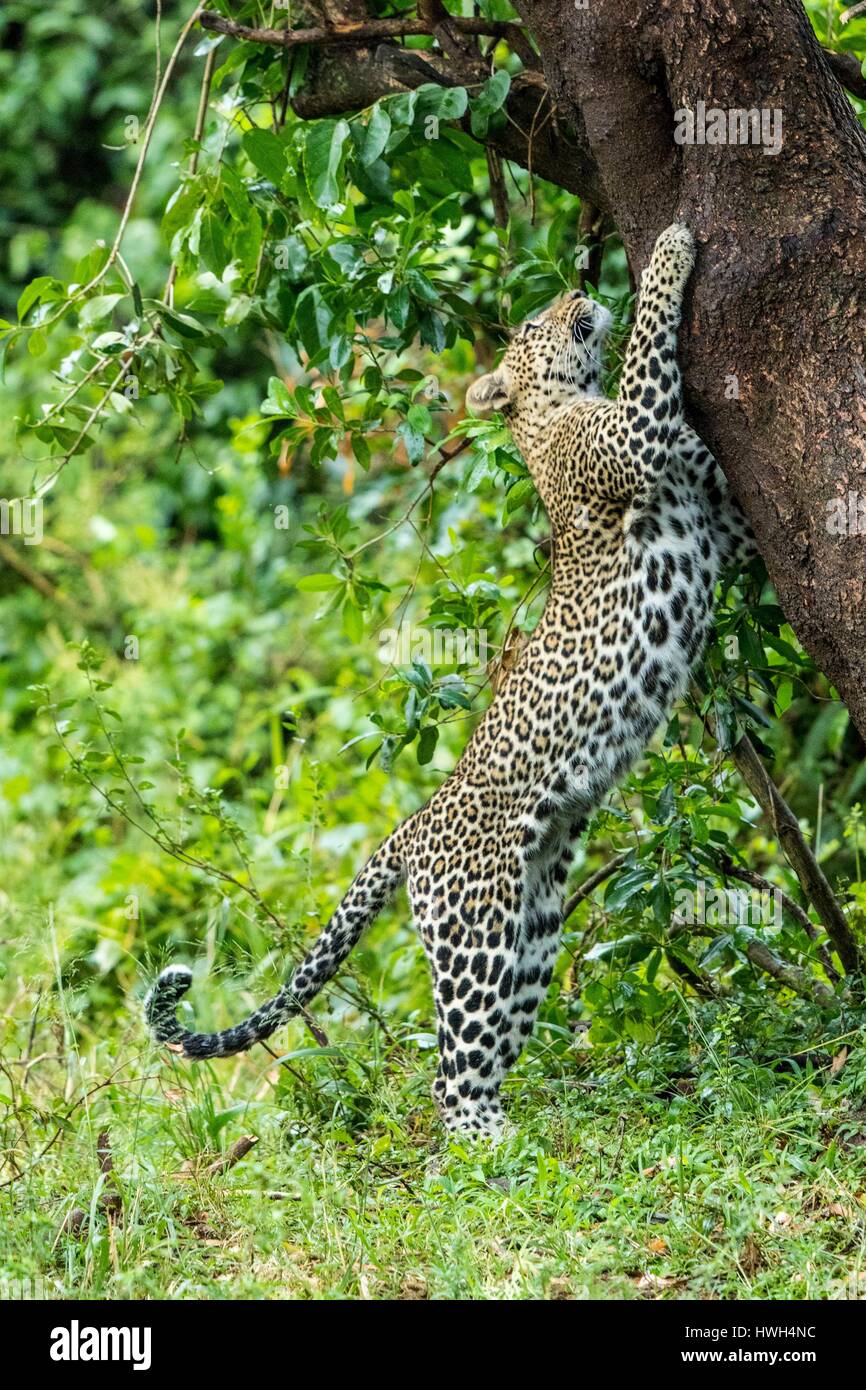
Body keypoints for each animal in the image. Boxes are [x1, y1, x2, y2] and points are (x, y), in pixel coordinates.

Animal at [146, 222, 756, 1141]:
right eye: (537, 321)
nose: (576, 292)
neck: (545, 416)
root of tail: (413, 826)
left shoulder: (716, 514)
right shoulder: (637, 430)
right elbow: (648, 346)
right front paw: (669, 252)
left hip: (534, 926)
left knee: (492, 1045)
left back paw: (516, 1134)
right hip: (475, 932)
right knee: (449, 1070)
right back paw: (492, 1150)